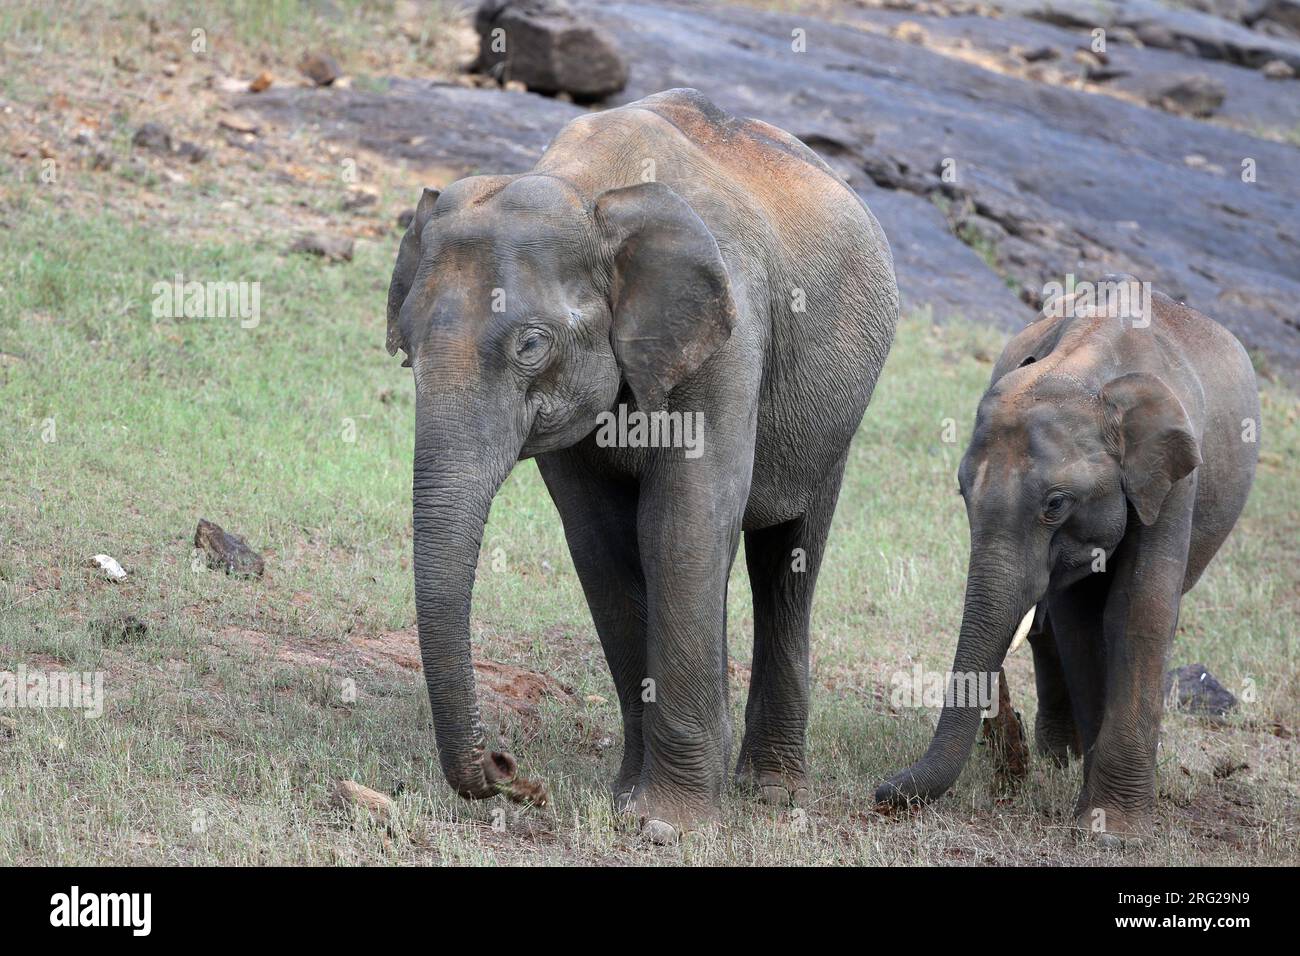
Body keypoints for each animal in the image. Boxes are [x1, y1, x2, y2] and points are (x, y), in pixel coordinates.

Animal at [386, 89, 899, 841]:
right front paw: (628, 800)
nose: (511, 771)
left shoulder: (731, 334)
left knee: (789, 559)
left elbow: (680, 526)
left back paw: (770, 790)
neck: (586, 190)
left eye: (531, 346)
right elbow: (603, 543)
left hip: (838, 415)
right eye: (407, 346)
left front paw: (668, 822)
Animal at [876, 283, 1259, 842]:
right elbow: (1082, 619)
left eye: (1055, 504)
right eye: (962, 491)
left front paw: (1109, 829)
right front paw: (1095, 810)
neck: (1085, 366)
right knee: (1052, 624)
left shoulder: (1173, 478)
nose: (879, 791)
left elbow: (1138, 611)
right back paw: (1062, 757)